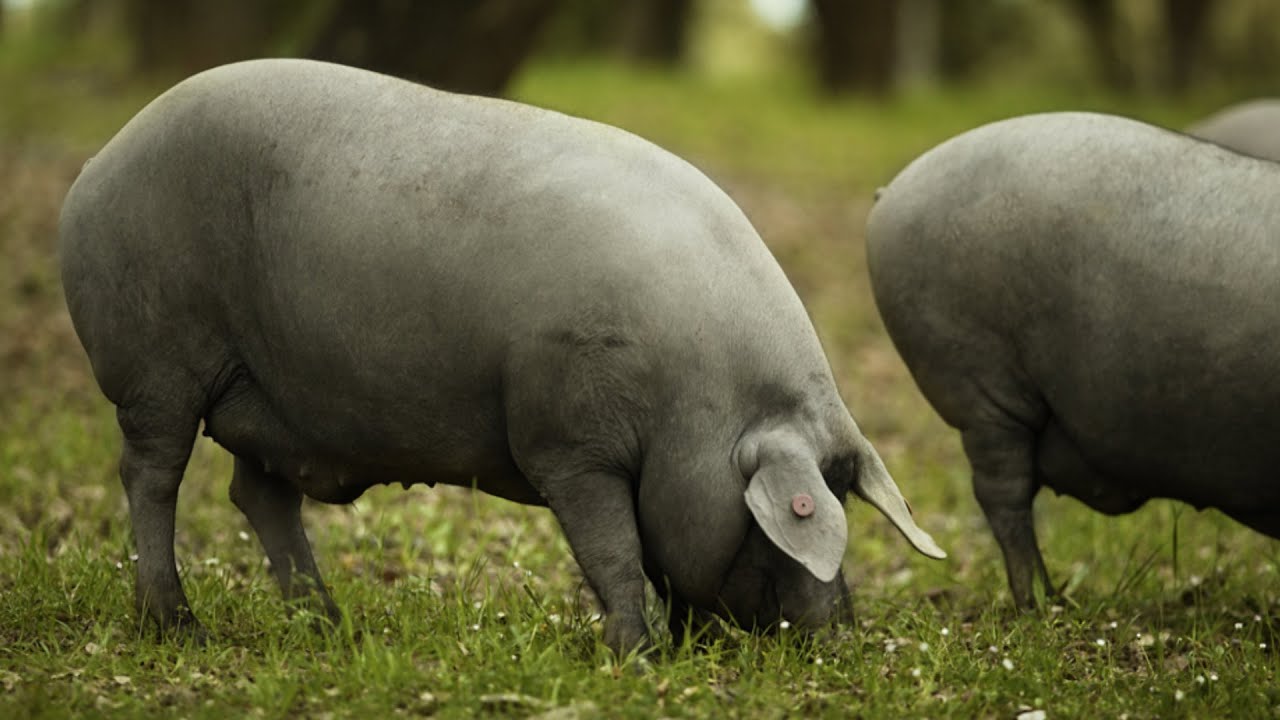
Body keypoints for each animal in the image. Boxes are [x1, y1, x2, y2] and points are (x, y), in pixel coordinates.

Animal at [59, 59, 945, 655]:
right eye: (800, 516)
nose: (840, 636)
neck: (698, 404)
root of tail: (93, 170)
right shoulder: (569, 442)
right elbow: (614, 549)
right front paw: (638, 656)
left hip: (273, 396)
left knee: (259, 495)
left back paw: (332, 626)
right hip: (155, 370)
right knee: (151, 474)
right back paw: (180, 627)